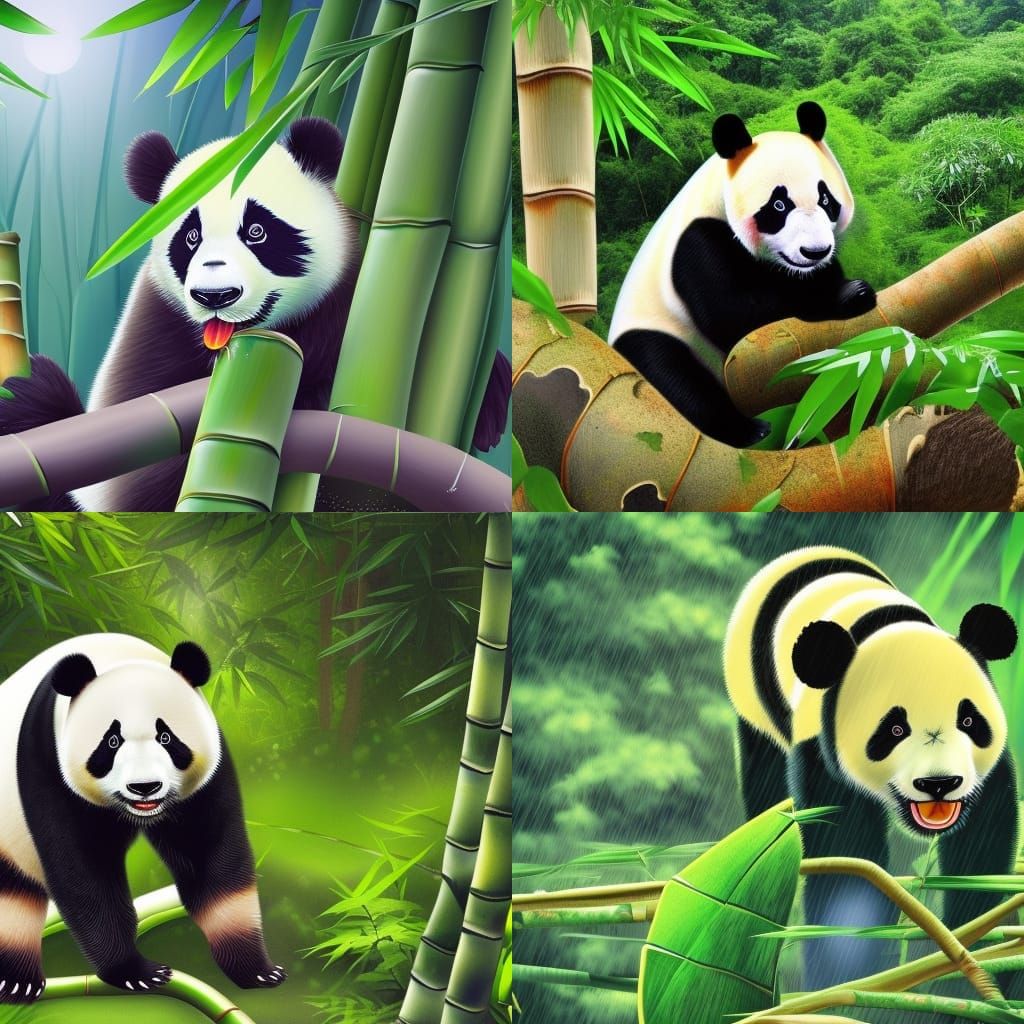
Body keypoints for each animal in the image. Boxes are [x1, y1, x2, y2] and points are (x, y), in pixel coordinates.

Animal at [0, 633, 282, 1002]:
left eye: (166, 737)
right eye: (111, 741)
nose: (144, 787)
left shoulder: (205, 780)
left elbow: (213, 861)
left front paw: (257, 969)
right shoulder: (47, 762)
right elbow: (83, 873)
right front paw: (136, 971)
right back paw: (17, 982)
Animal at [609, 102, 877, 448]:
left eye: (826, 199)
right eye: (779, 205)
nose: (814, 251)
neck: (715, 192)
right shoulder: (695, 245)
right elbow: (731, 315)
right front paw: (844, 297)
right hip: (655, 334)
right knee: (674, 376)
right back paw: (749, 430)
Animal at [723, 546, 1018, 990]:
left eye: (968, 720)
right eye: (894, 729)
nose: (939, 784)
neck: (887, 627)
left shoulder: (983, 772)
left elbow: (982, 848)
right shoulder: (820, 737)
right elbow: (846, 856)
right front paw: (846, 971)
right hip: (754, 692)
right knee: (767, 783)